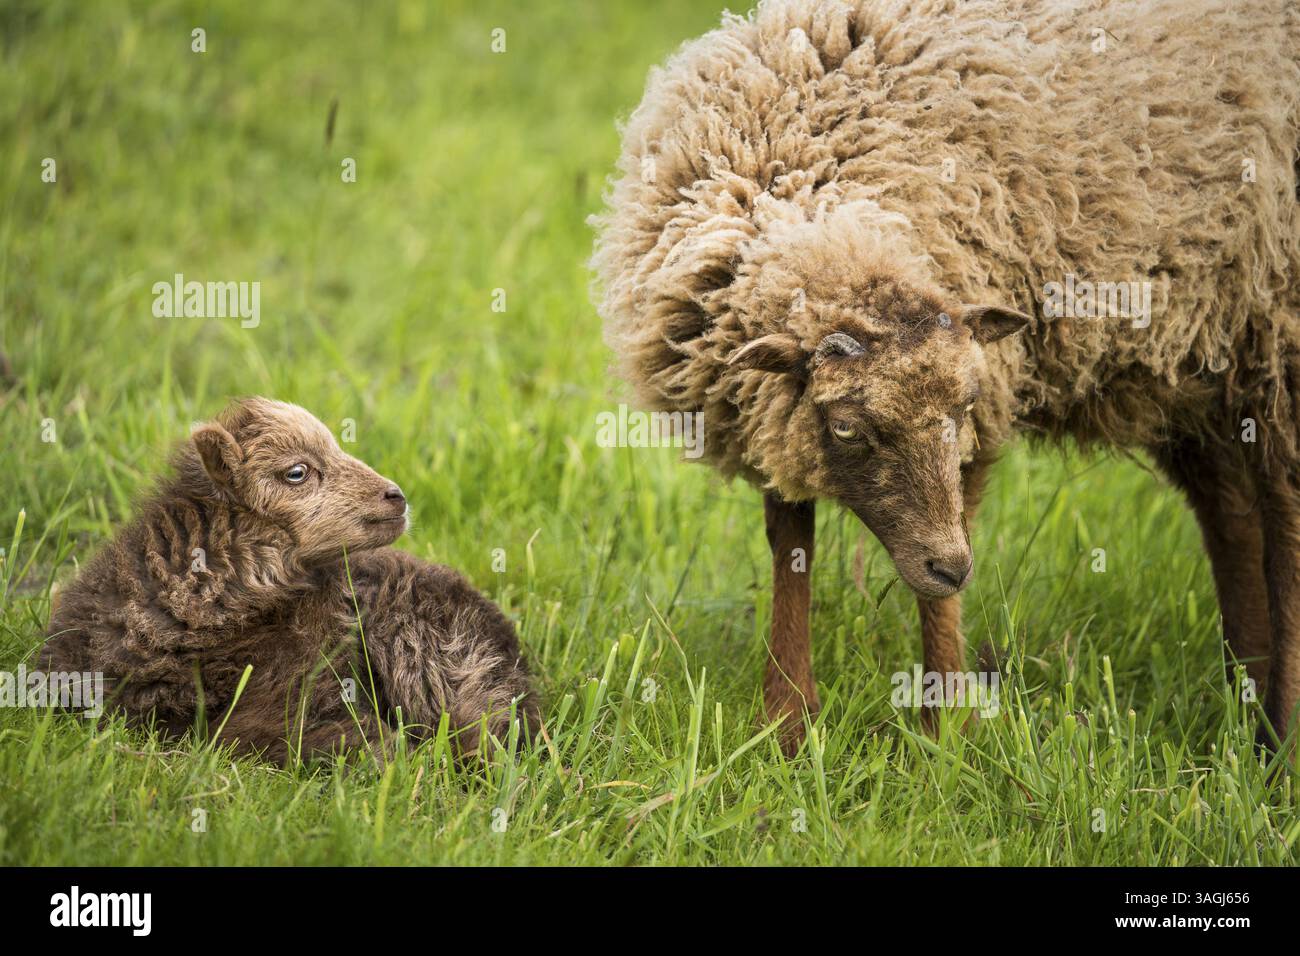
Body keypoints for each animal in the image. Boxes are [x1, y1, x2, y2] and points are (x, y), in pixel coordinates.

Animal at [592, 0, 1300, 755]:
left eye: (961, 410)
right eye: (846, 426)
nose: (952, 564)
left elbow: (937, 589)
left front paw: (940, 730)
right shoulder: (771, 414)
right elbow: (791, 543)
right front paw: (786, 725)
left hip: (1276, 337)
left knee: (1285, 525)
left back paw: (1280, 735)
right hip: (1200, 359)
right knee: (1233, 515)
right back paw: (1246, 706)